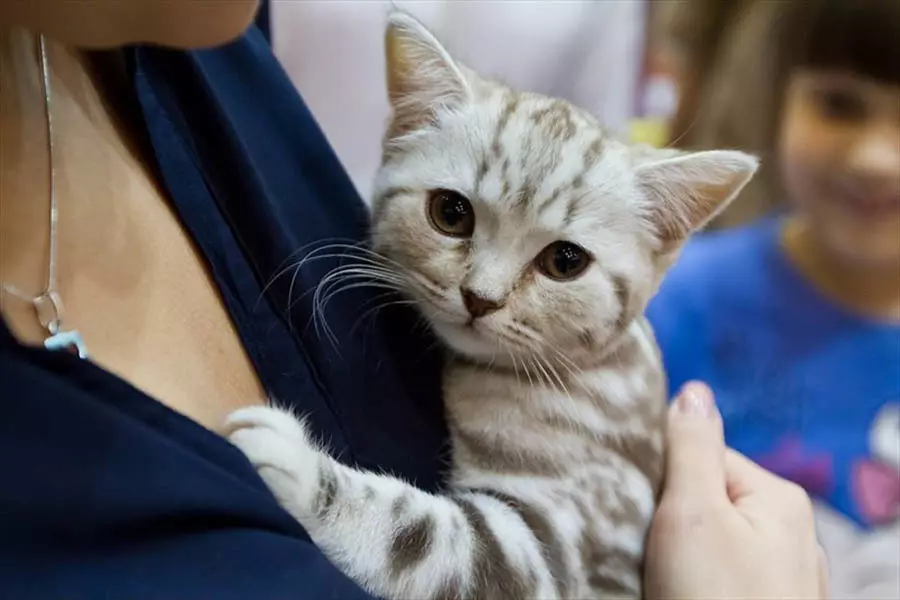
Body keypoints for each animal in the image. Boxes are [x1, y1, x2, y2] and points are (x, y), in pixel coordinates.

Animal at [227, 10, 760, 600]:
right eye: (451, 213)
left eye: (565, 261)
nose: (480, 298)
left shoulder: (564, 542)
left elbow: (424, 539)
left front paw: (296, 464)